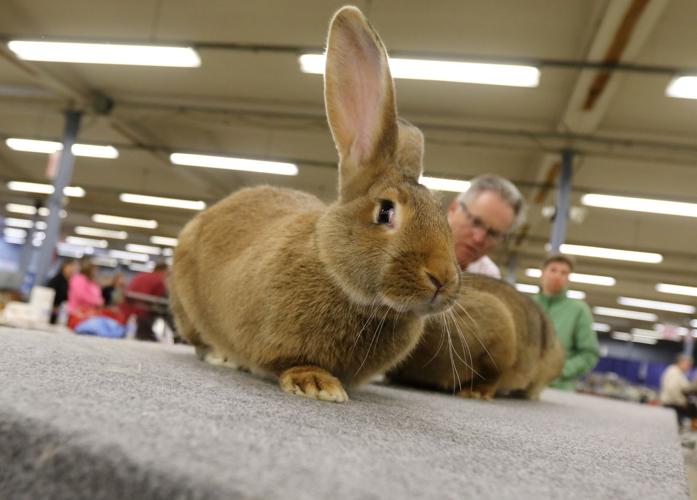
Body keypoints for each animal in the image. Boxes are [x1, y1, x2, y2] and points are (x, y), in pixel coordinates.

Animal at [169, 6, 461, 403]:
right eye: (385, 211)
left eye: (443, 216)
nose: (442, 278)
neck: (329, 263)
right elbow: (295, 362)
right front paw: (318, 385)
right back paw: (222, 356)